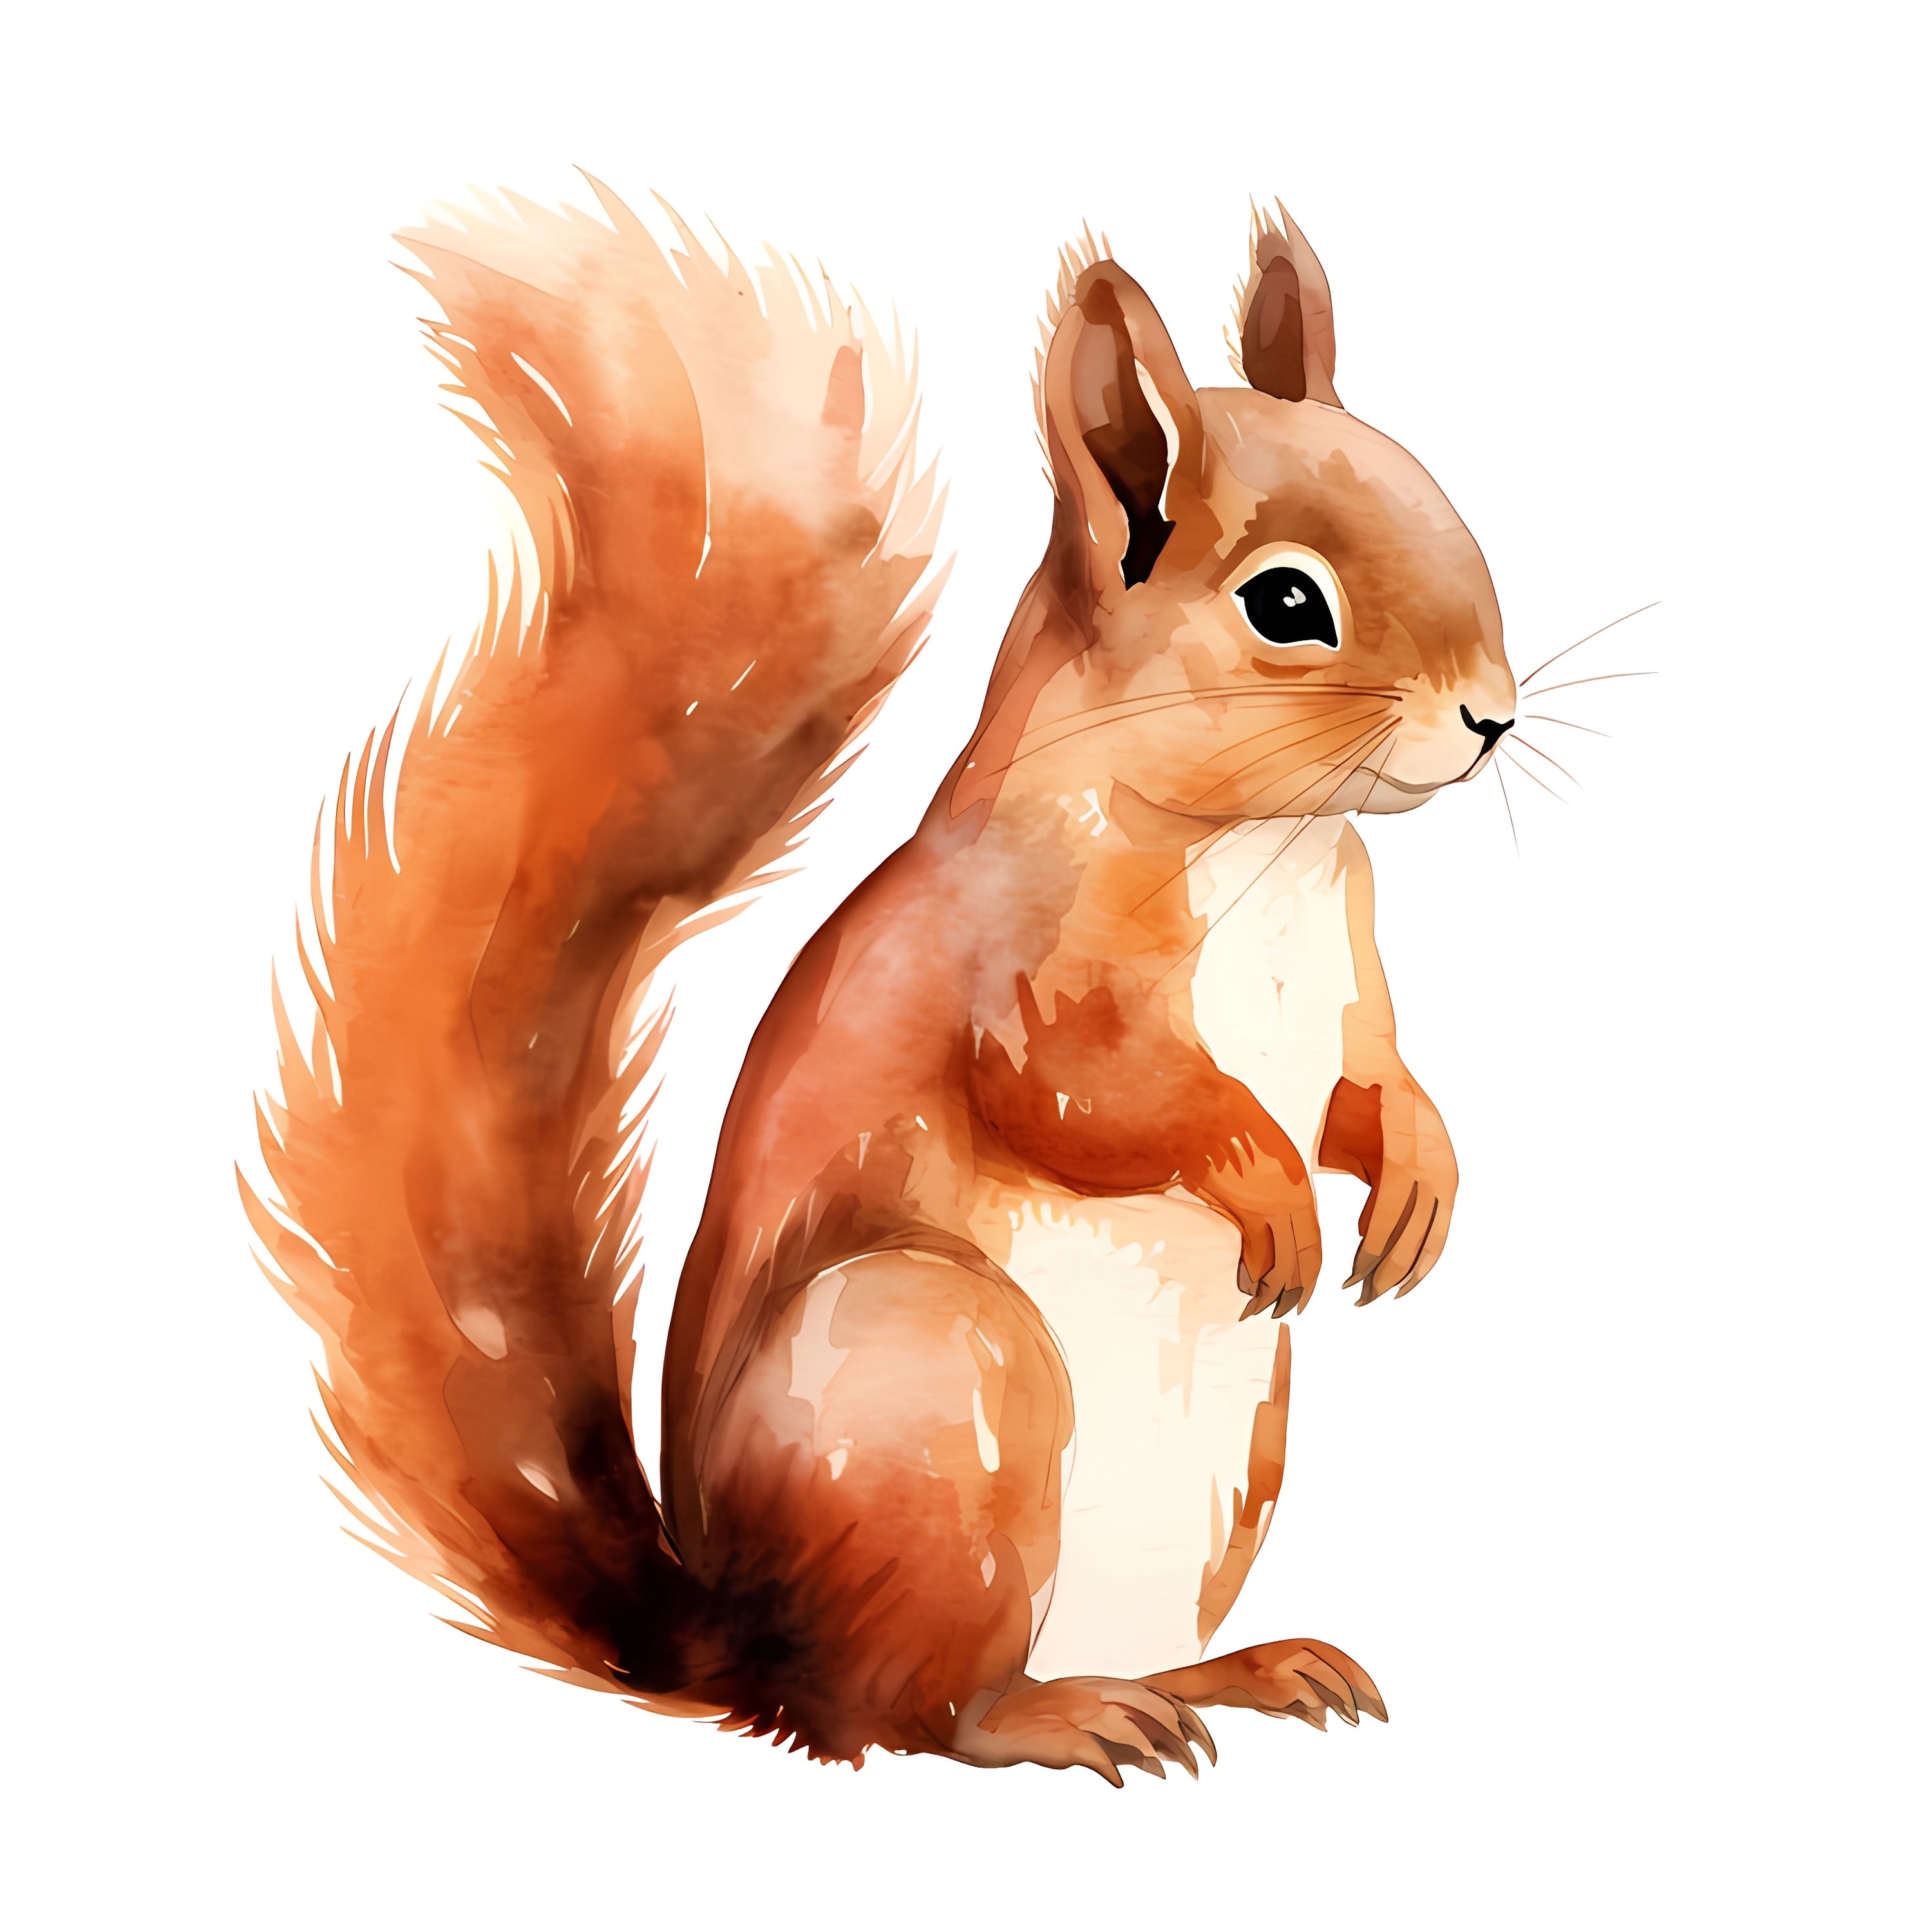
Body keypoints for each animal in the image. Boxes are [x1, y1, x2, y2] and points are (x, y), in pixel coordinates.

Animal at [244, 179, 1518, 1783]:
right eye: (1288, 604)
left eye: (1440, 497)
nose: (1495, 714)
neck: (1269, 849)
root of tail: (736, 1641)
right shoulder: (1018, 971)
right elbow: (1096, 1100)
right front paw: (1266, 1182)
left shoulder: (1350, 983)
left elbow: (1368, 1088)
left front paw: (1420, 1180)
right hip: (940, 1377)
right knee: (912, 1716)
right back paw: (1060, 1715)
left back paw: (1242, 1672)